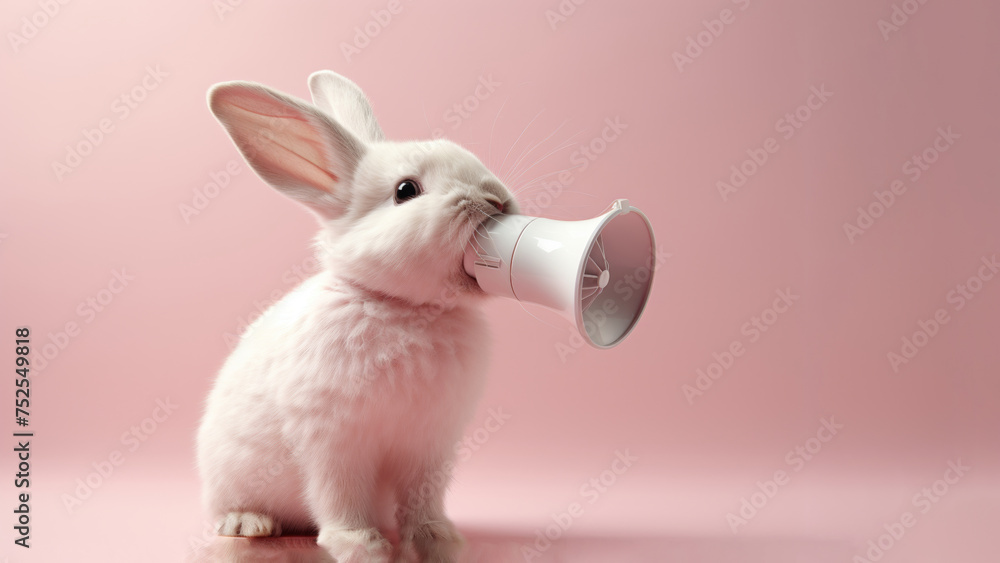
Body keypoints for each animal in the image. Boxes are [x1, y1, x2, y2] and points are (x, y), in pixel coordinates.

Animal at [196, 70, 518, 563]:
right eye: (406, 191)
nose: (497, 201)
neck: (408, 308)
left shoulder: (430, 446)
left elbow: (424, 499)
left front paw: (439, 541)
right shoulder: (335, 441)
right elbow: (339, 494)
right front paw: (359, 546)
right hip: (227, 476)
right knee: (229, 508)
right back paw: (249, 523)